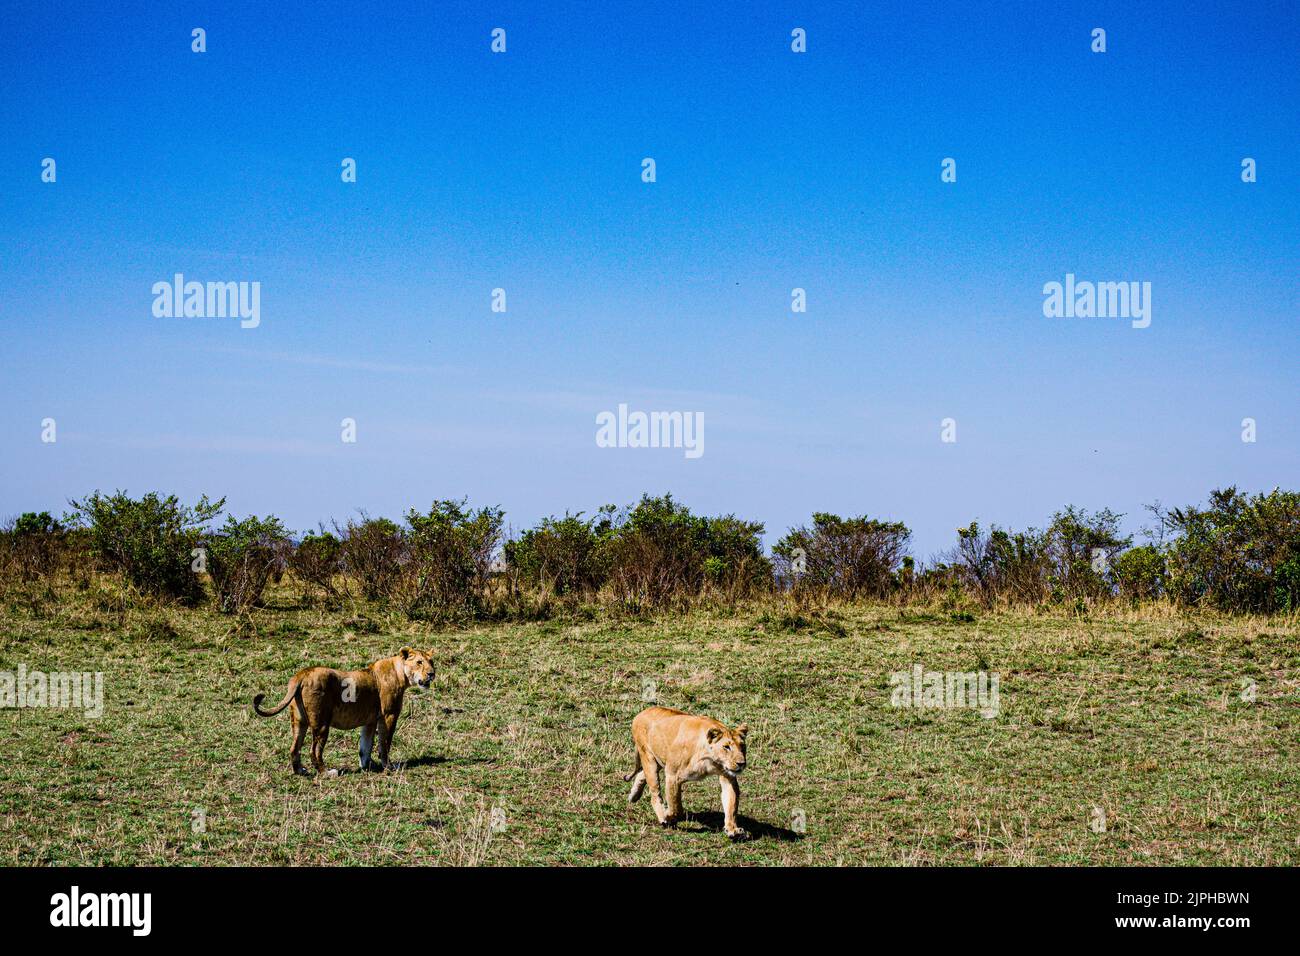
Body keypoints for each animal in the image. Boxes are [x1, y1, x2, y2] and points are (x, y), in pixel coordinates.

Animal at [252, 647, 435, 776]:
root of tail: (303, 673)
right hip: (321, 723)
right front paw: (388, 766)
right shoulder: (389, 715)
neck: (400, 673)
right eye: (419, 662)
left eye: (432, 662)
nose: (432, 674)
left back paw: (300, 771)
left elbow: (365, 746)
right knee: (314, 750)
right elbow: (385, 743)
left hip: (299, 721)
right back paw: (327, 773)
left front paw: (367, 766)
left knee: (294, 748)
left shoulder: (370, 720)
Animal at [624, 706, 750, 839]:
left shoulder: (728, 776)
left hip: (658, 759)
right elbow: (676, 807)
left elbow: (731, 804)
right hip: (648, 757)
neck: (709, 759)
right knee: (654, 793)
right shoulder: (673, 775)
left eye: (742, 746)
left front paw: (732, 829)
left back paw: (633, 796)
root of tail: (643, 712)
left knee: (642, 774)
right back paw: (661, 816)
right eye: (726, 747)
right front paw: (668, 816)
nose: (741, 763)